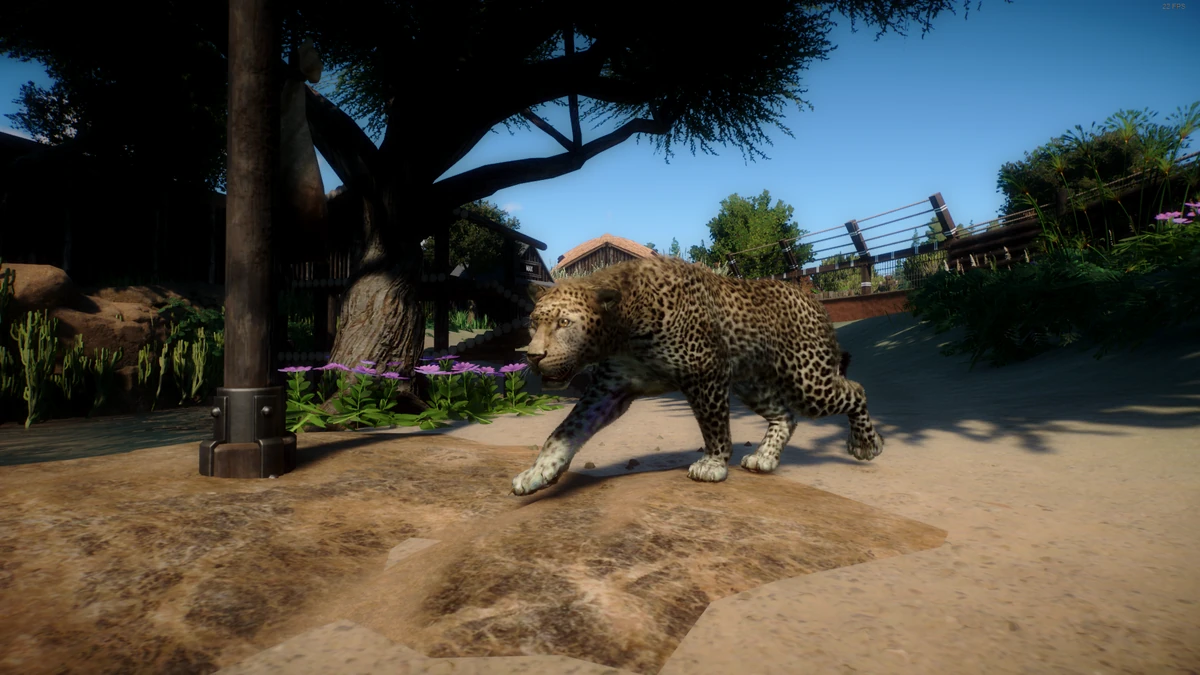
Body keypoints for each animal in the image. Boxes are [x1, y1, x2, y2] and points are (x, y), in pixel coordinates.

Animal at [511, 255, 884, 496]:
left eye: (564, 323)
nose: (533, 356)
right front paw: (538, 472)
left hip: (807, 380)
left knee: (856, 391)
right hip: (753, 385)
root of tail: (812, 298)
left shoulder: (706, 375)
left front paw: (712, 465)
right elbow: (564, 431)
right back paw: (764, 457)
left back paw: (867, 444)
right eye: (533, 323)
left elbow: (714, 426)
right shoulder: (608, 390)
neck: (622, 329)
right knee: (785, 416)